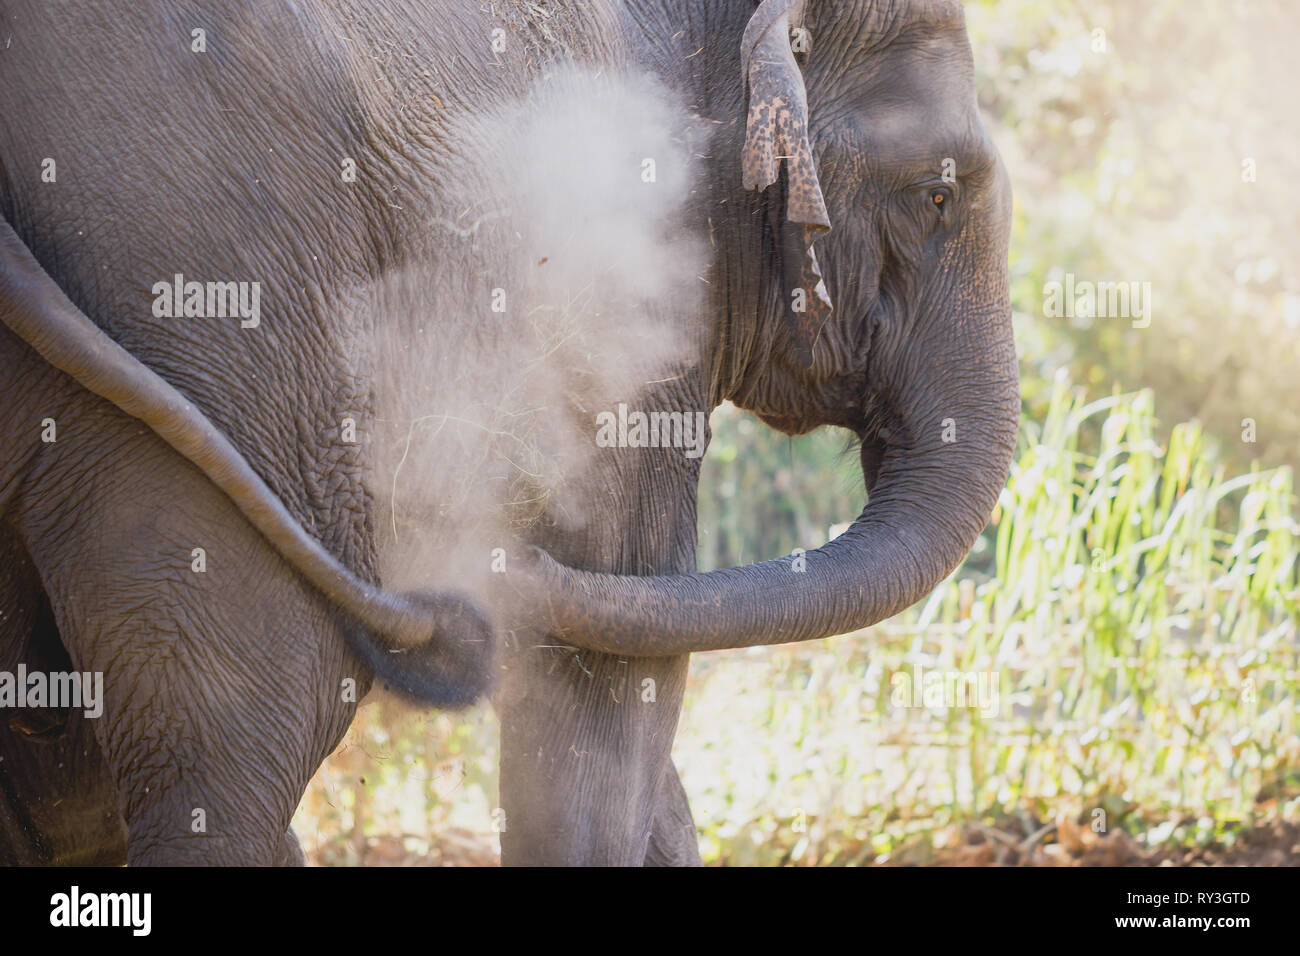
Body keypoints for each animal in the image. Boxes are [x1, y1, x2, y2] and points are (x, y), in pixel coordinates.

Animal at [0, 0, 1016, 866]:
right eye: (935, 195)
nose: (480, 554)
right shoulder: (638, 293)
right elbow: (612, 671)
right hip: (212, 287)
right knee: (237, 731)